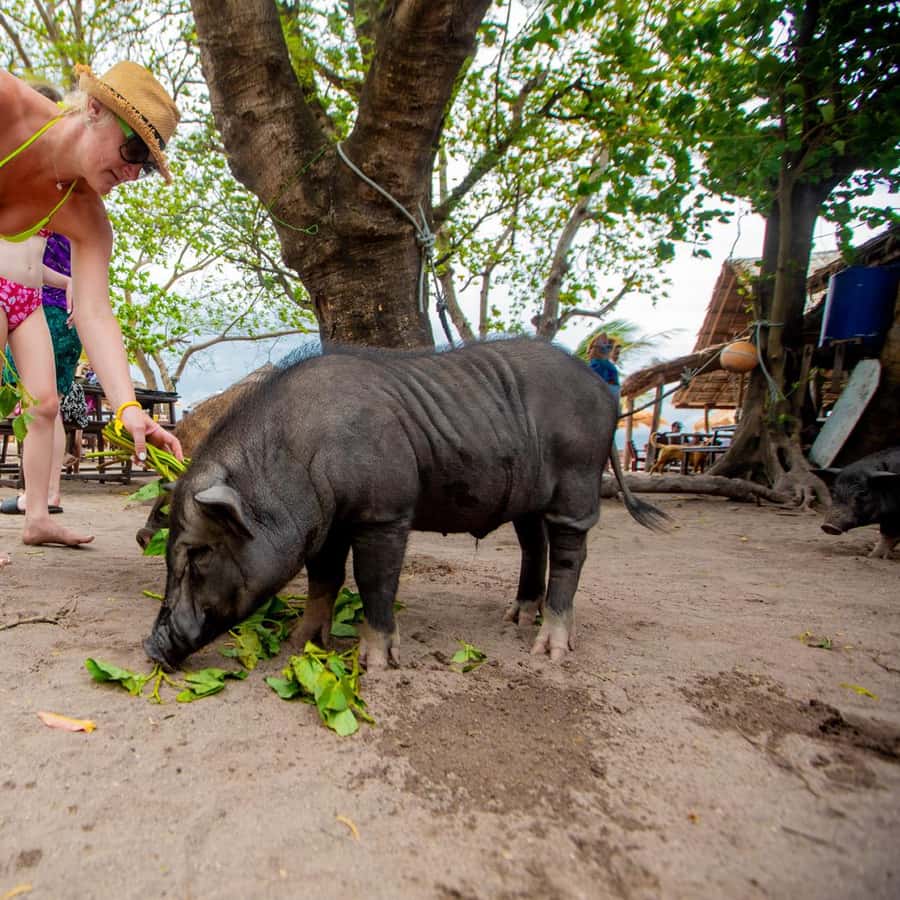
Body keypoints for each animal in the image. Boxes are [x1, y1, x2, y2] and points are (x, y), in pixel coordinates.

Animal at [143, 338, 671, 671]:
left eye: (199, 553)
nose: (150, 647)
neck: (294, 460)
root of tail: (605, 393)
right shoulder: (327, 523)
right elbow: (324, 579)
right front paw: (299, 644)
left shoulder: (385, 513)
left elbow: (374, 581)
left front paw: (375, 664)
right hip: (527, 496)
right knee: (531, 543)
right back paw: (516, 617)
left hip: (578, 477)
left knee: (569, 550)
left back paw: (550, 650)